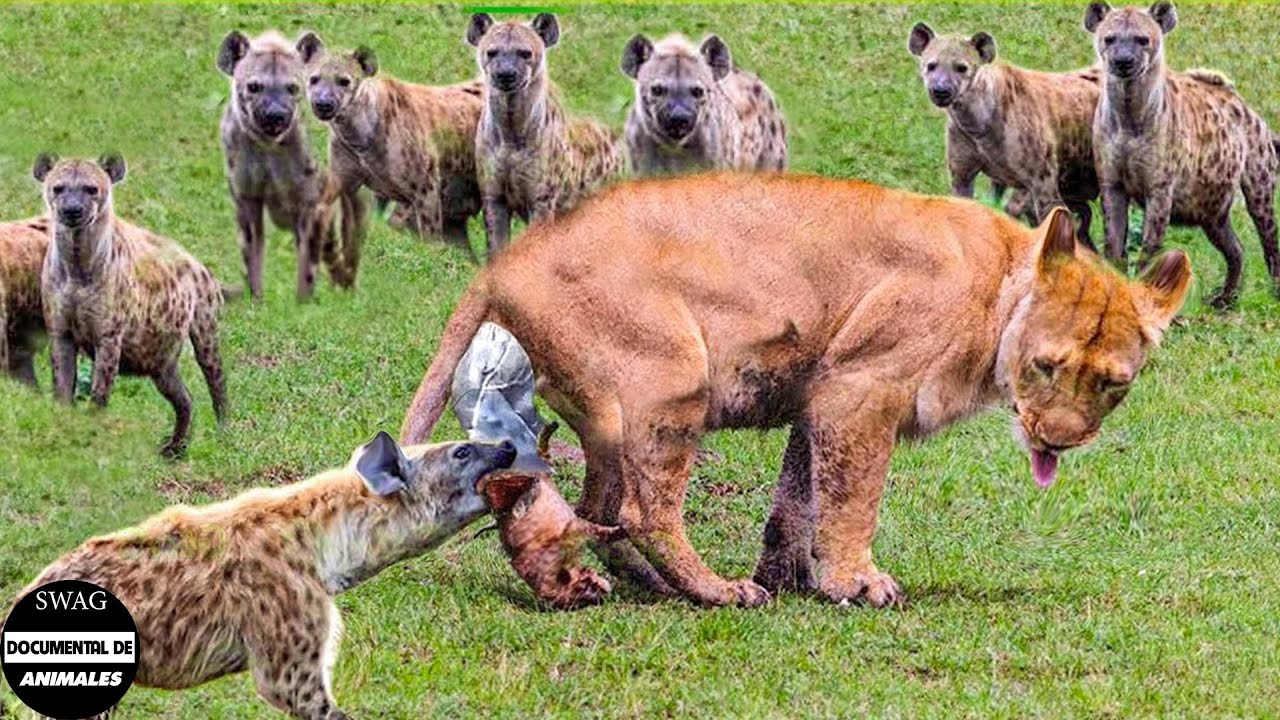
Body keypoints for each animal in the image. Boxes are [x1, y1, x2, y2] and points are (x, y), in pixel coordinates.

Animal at [401, 173, 1191, 609]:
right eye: (1047, 366)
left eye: (1113, 383)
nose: (1057, 439)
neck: (1001, 281)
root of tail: (501, 265)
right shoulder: (861, 387)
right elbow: (853, 497)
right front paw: (854, 582)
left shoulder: (822, 396)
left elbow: (798, 498)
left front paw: (792, 577)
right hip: (674, 376)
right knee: (641, 509)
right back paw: (714, 591)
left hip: (608, 421)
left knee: (597, 510)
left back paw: (639, 587)